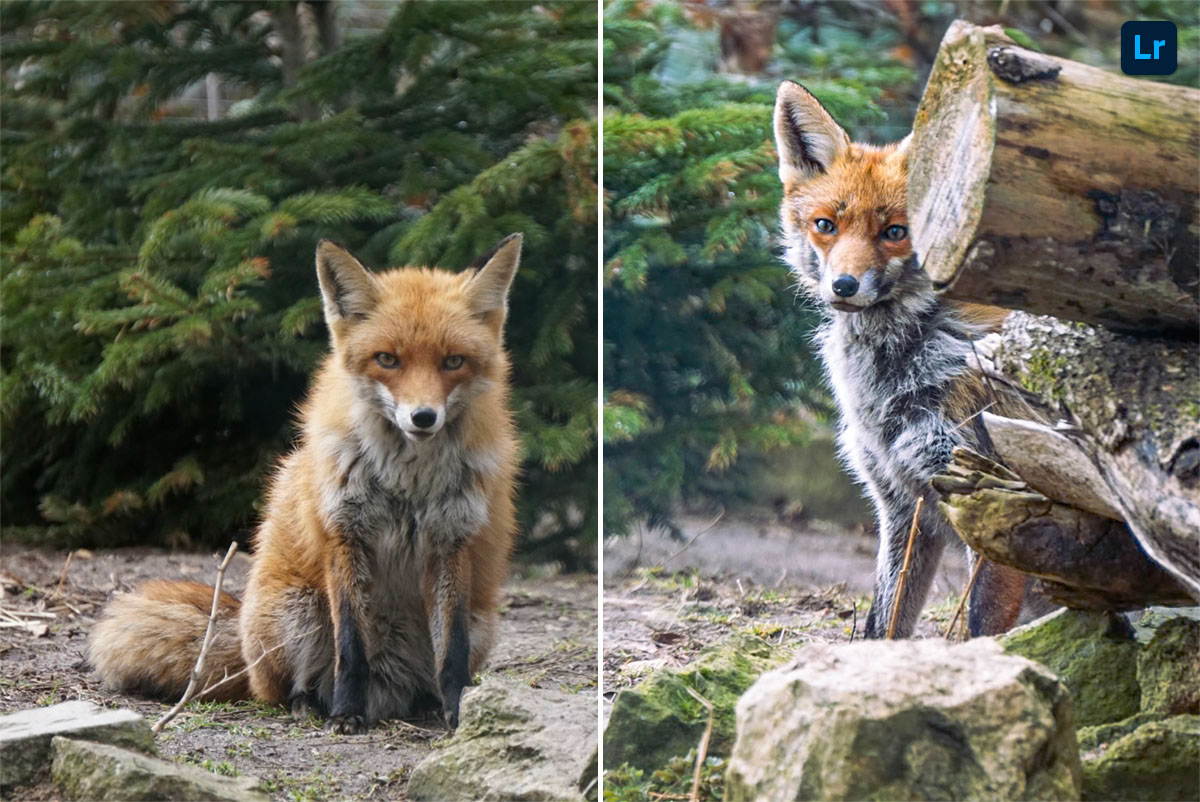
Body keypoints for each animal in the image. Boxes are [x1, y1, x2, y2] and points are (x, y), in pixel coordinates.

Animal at [89, 234, 523, 732]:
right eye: (387, 359)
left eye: (453, 361)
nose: (423, 417)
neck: (407, 484)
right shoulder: (344, 535)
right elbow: (350, 648)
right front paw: (347, 714)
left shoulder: (454, 542)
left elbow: (451, 652)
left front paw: (459, 712)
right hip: (297, 612)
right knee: (284, 688)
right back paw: (310, 703)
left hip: (482, 623)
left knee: (429, 673)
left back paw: (426, 704)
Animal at [773, 80, 1044, 639]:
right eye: (826, 225)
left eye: (896, 232)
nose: (843, 286)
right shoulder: (903, 506)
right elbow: (883, 626)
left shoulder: (1004, 507)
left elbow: (979, 633)